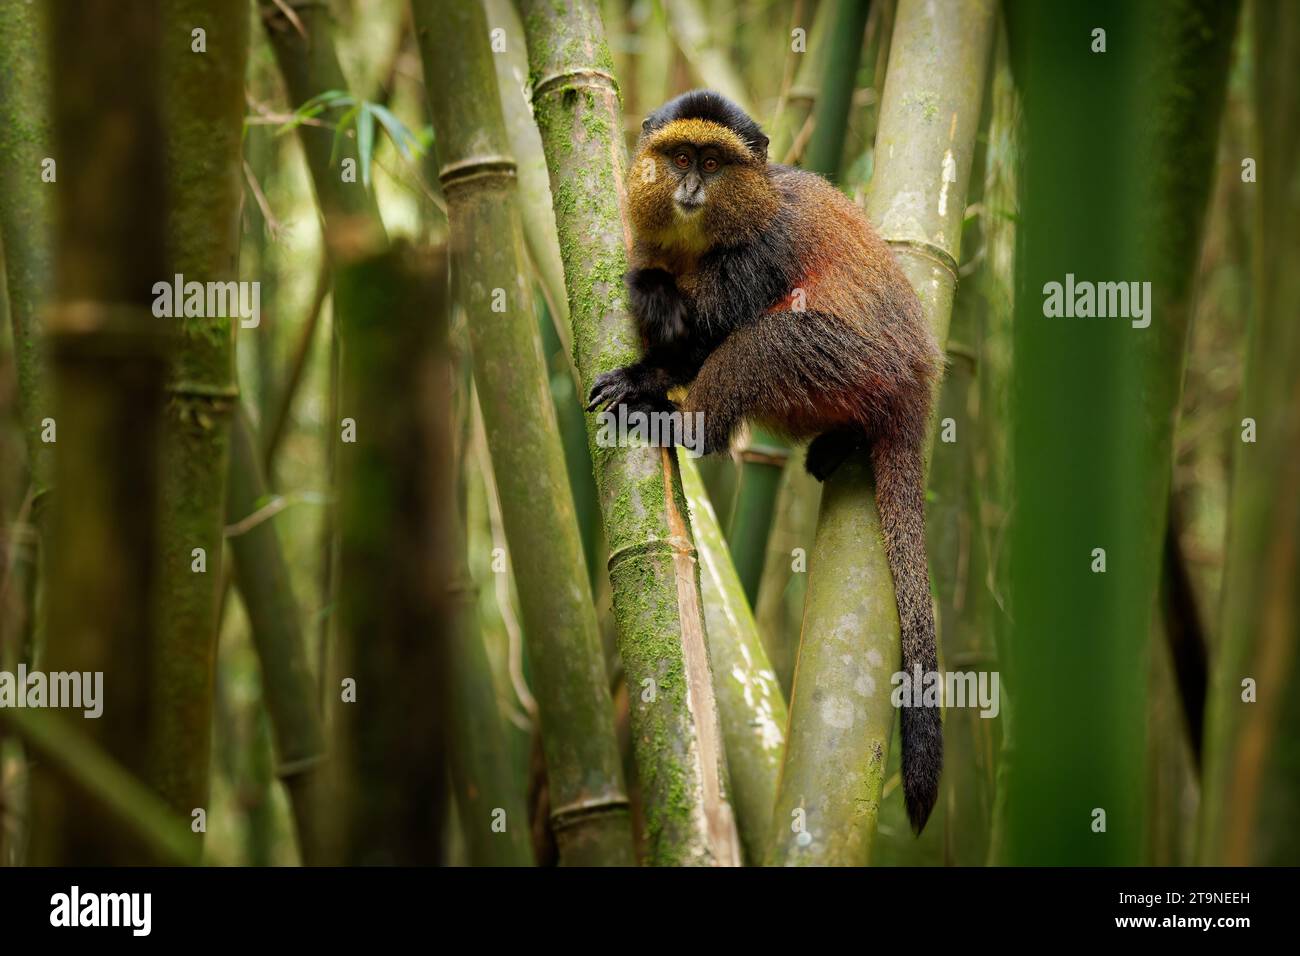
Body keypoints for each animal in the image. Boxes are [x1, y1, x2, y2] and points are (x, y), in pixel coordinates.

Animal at [586, 90, 944, 833]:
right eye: (681, 157)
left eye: (714, 163)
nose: (691, 188)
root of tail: (919, 379)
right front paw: (649, 314)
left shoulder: (762, 252)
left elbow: (710, 338)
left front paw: (643, 371)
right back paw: (841, 443)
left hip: (846, 358)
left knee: (765, 343)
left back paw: (683, 426)